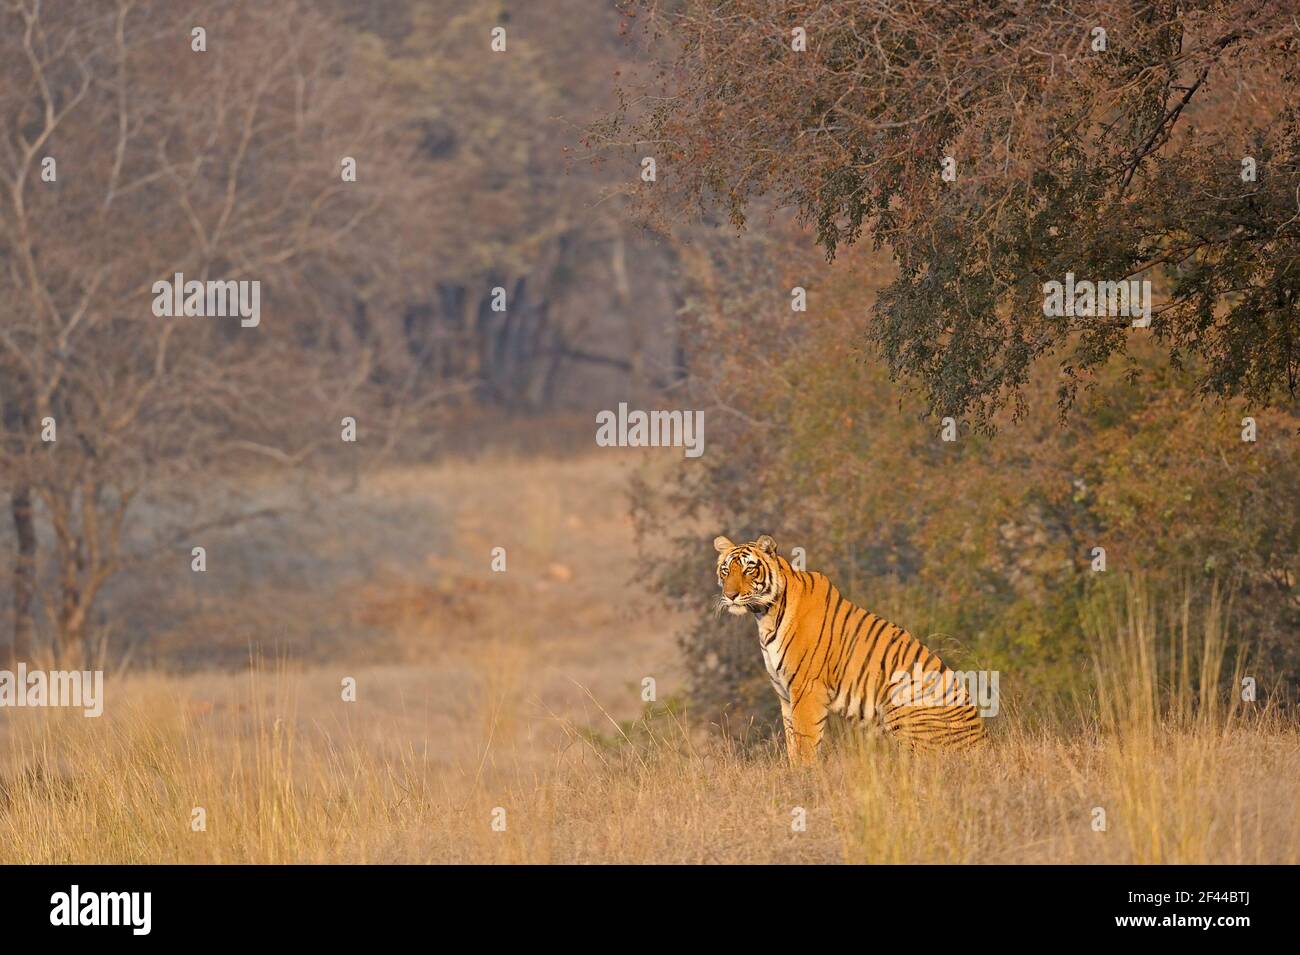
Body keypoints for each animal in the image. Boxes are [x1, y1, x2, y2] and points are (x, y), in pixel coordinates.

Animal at [714, 534, 988, 764]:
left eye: (749, 569)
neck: (765, 616)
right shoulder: (785, 694)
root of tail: (985, 743)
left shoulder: (807, 689)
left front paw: (804, 778)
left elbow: (805, 742)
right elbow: (792, 742)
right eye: (726, 570)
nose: (731, 595)